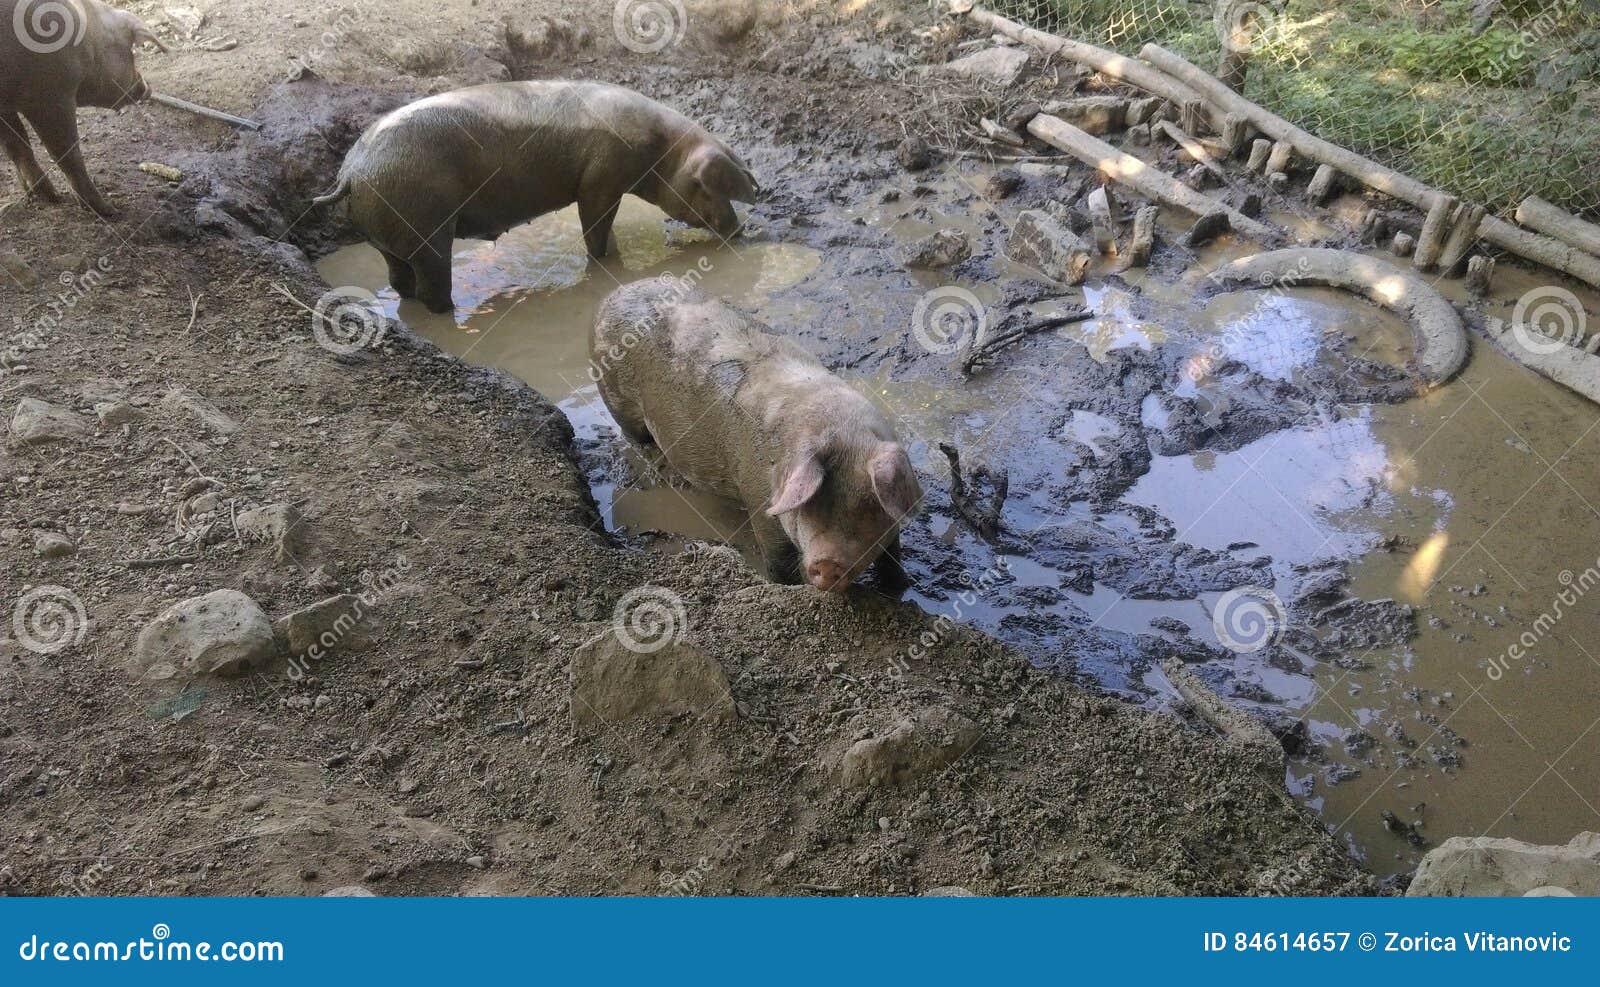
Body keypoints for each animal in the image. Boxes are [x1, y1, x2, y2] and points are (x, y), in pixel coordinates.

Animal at [0, 0, 167, 217]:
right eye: (131, 52)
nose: (147, 87)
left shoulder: (5, 109)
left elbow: (17, 147)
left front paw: (48, 197)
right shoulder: (51, 97)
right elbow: (67, 154)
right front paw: (109, 211)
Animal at [314, 81, 759, 314]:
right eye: (705, 187)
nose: (738, 231)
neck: (659, 152)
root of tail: (351, 172)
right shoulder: (600, 180)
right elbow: (595, 226)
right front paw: (605, 262)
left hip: (385, 235)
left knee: (398, 279)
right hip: (426, 225)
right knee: (431, 287)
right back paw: (454, 313)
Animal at [592, 280, 923, 593]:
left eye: (868, 504)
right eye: (809, 504)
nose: (826, 564)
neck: (841, 429)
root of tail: (613, 296)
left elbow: (892, 557)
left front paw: (901, 588)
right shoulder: (759, 500)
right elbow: (777, 563)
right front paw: (788, 589)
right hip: (617, 401)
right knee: (636, 439)